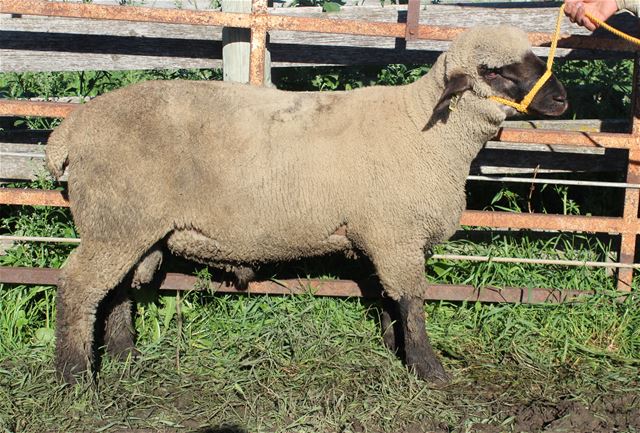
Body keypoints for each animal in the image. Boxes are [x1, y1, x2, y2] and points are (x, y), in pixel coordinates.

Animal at [46, 25, 567, 384]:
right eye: (494, 70)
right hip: (115, 219)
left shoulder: (376, 233)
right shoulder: (396, 233)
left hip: (127, 225)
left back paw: (123, 356)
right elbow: (412, 301)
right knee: (77, 288)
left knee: (115, 289)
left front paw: (392, 345)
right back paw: (75, 378)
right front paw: (427, 369)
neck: (424, 130)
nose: (562, 99)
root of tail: (70, 131)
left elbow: (387, 298)